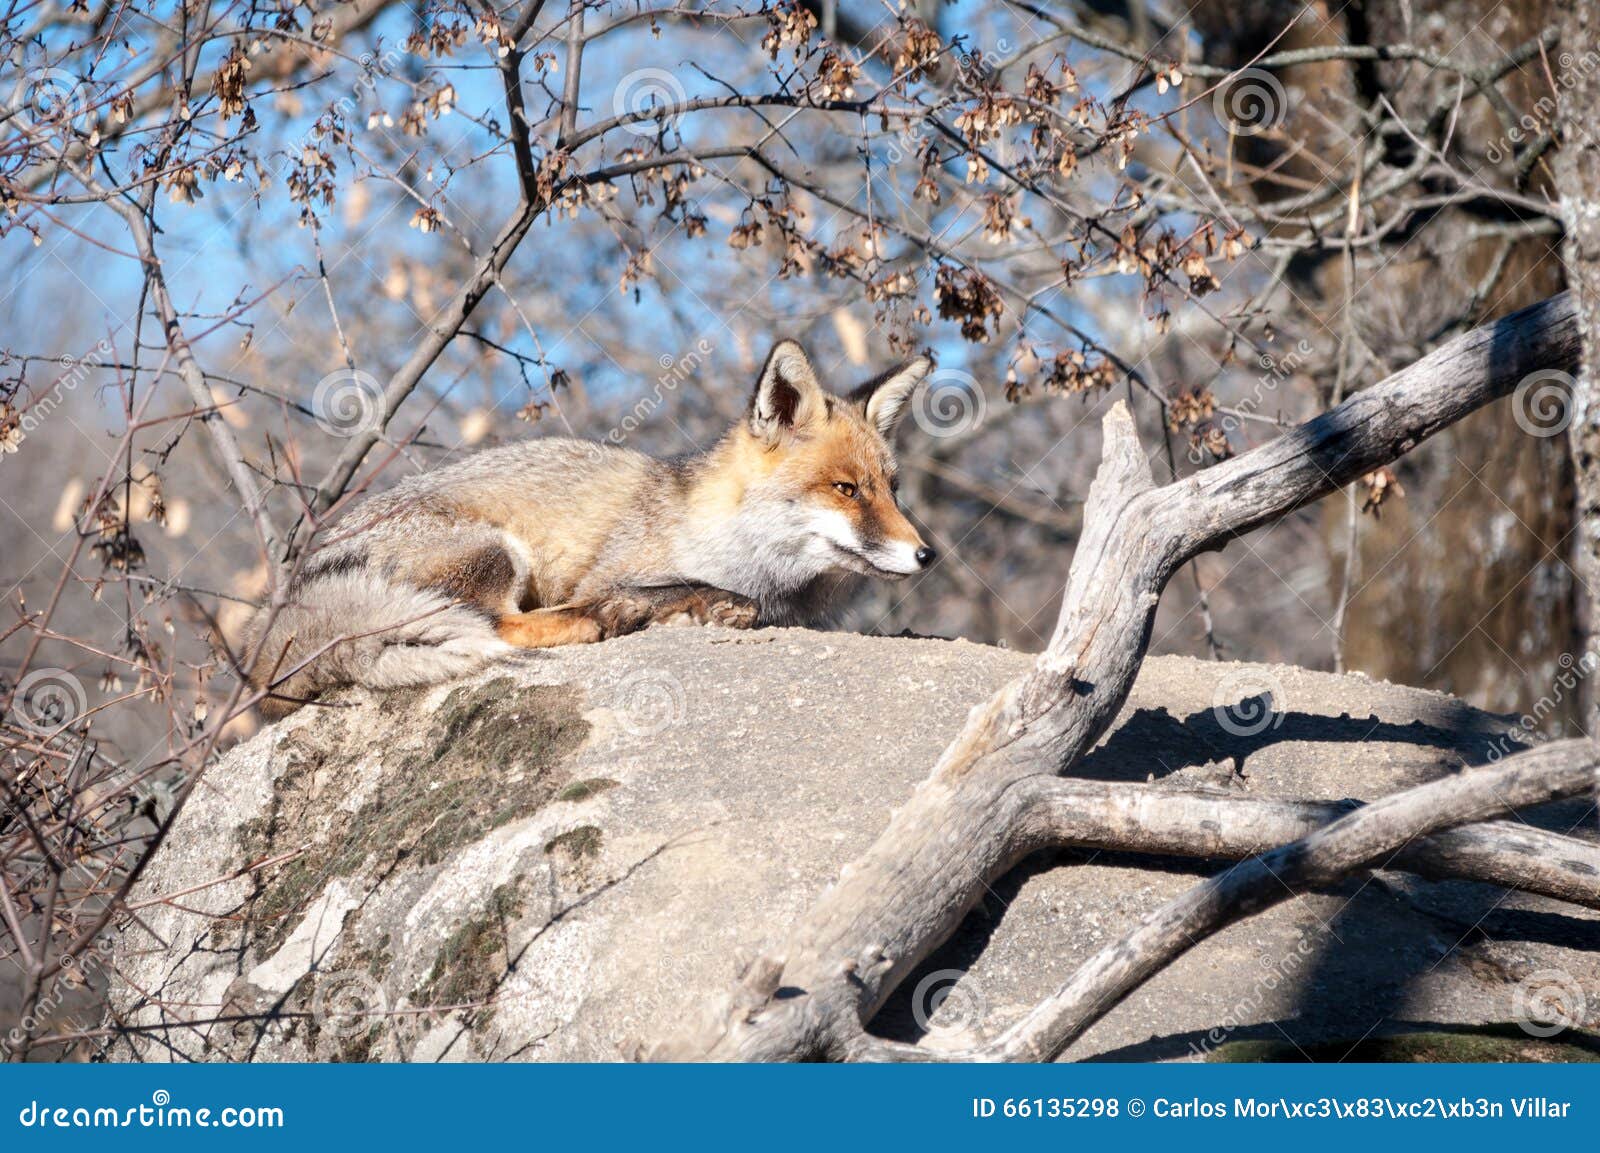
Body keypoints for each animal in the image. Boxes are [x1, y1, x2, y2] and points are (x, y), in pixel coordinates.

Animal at [246, 341, 938, 717]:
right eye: (846, 490)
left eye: (893, 489)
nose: (927, 555)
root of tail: (276, 617)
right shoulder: (613, 570)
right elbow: (674, 587)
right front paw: (690, 605)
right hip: (496, 552)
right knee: (502, 624)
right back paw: (600, 622)